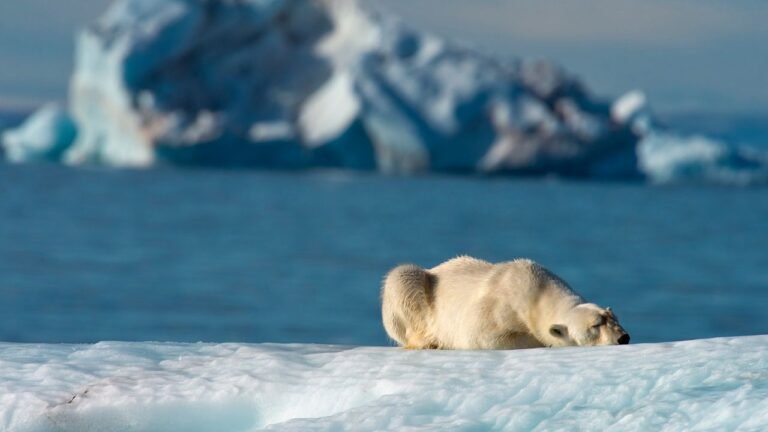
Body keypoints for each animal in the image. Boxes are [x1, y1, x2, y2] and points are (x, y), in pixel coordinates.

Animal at [381, 256, 629, 350]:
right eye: (595, 325)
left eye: (614, 318)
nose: (623, 337)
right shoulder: (497, 307)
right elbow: (483, 336)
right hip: (417, 286)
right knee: (401, 276)